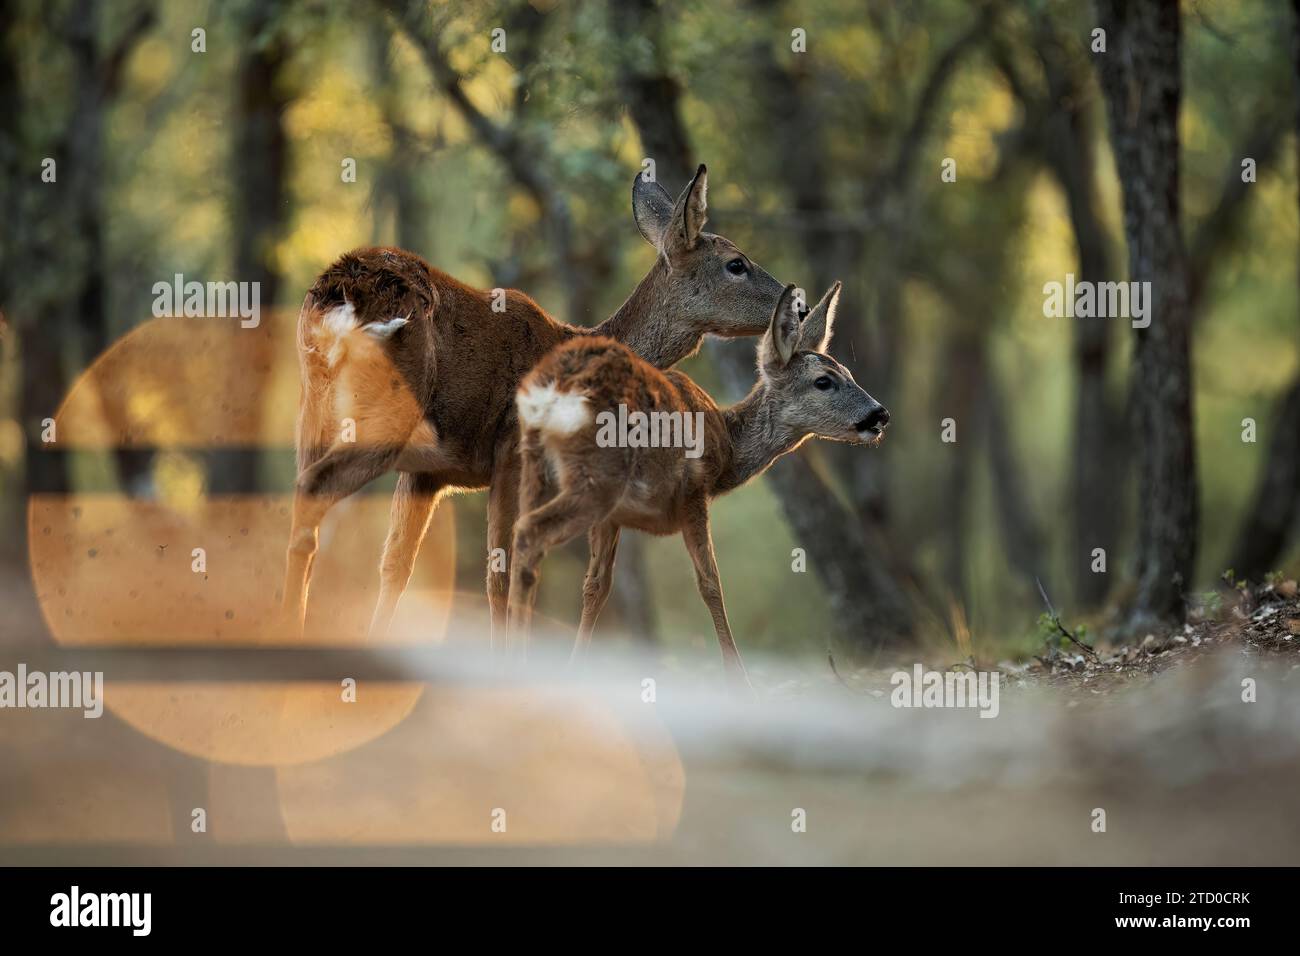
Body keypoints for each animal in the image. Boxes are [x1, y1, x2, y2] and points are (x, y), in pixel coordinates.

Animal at [281, 166, 788, 642]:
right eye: (736, 263)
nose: (797, 304)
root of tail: (340, 292)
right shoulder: (509, 449)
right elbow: (499, 574)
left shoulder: (427, 472)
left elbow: (395, 569)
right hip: (384, 417)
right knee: (314, 489)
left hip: (312, 410)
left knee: (304, 504)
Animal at [505, 282, 889, 686]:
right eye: (823, 381)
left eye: (849, 371)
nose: (880, 414)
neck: (727, 446)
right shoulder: (693, 492)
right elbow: (710, 583)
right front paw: (741, 682)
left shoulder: (612, 517)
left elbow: (596, 584)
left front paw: (574, 668)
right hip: (597, 477)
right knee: (529, 531)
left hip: (535, 468)